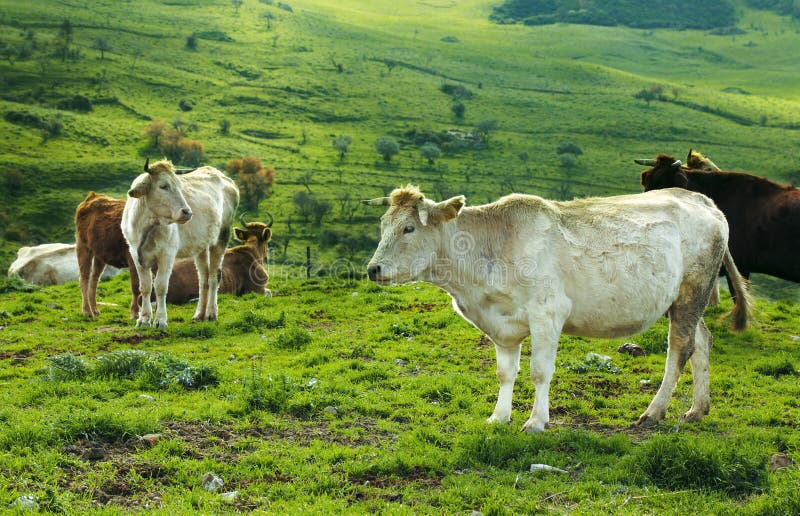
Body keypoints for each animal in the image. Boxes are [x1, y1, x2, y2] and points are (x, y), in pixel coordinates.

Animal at [122, 159, 239, 328]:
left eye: (179, 185)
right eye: (163, 186)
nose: (187, 212)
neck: (146, 226)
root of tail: (222, 176)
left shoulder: (167, 254)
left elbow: (160, 286)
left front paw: (160, 320)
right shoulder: (136, 255)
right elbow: (145, 287)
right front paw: (144, 319)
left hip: (221, 238)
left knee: (213, 276)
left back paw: (211, 313)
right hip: (201, 246)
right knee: (203, 278)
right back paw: (199, 314)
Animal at [363, 185, 750, 433]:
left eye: (408, 228)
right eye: (383, 225)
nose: (373, 269)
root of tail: (702, 199)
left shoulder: (547, 313)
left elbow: (539, 371)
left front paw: (536, 421)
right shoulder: (503, 325)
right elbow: (505, 373)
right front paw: (499, 417)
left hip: (691, 291)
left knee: (680, 349)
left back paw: (654, 412)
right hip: (684, 300)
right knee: (702, 342)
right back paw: (697, 409)